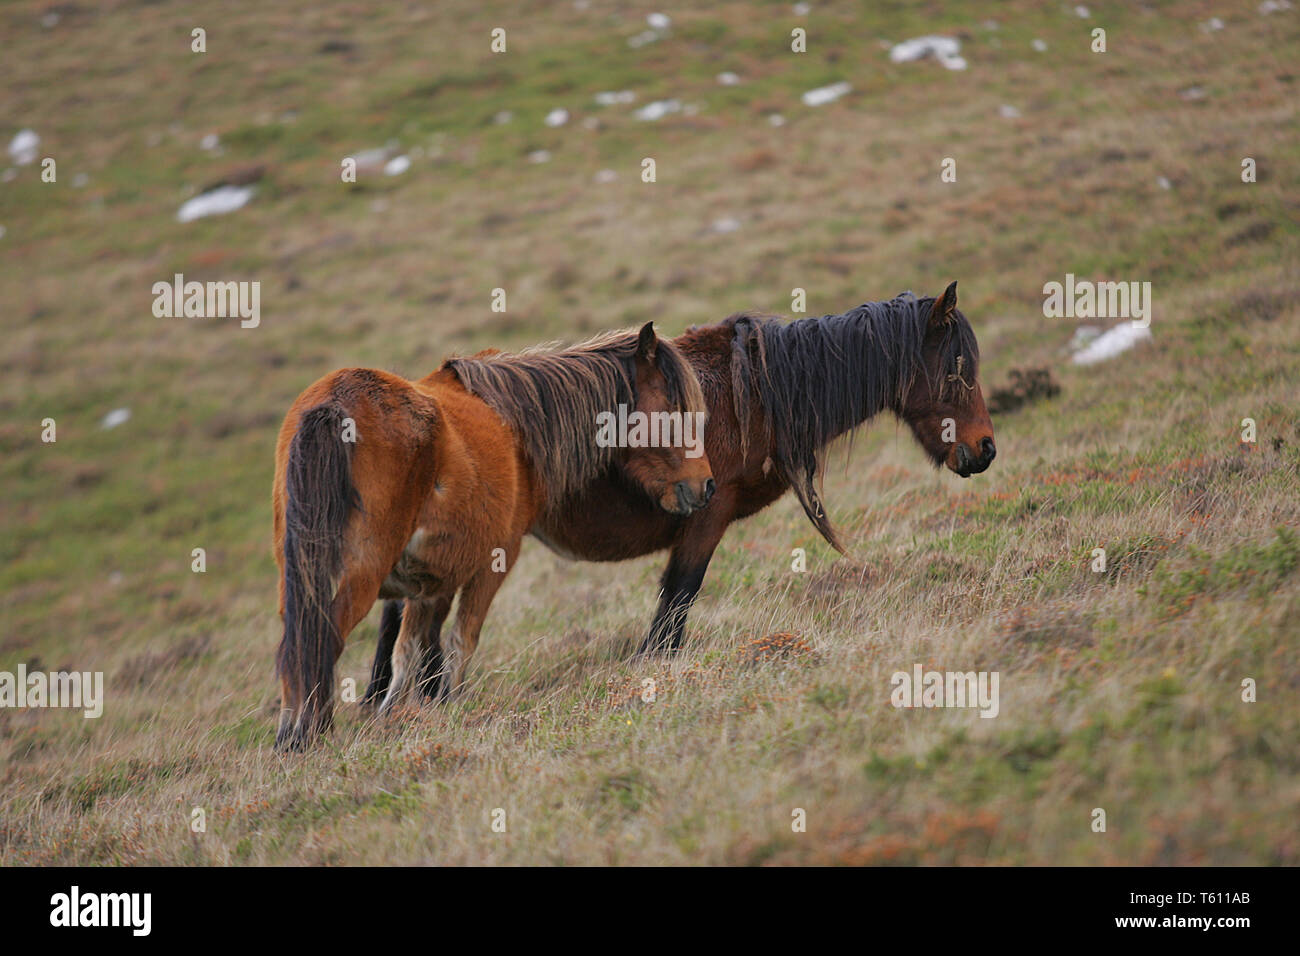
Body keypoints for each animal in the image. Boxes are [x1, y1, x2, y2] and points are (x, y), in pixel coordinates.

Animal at [271, 322, 714, 750]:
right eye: (674, 409)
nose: (706, 485)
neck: (517, 426)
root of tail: (335, 402)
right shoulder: (495, 561)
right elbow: (461, 641)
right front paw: (447, 706)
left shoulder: (426, 584)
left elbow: (407, 652)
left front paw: (397, 717)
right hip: (363, 575)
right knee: (320, 640)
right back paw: (306, 733)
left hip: (299, 574)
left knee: (297, 640)